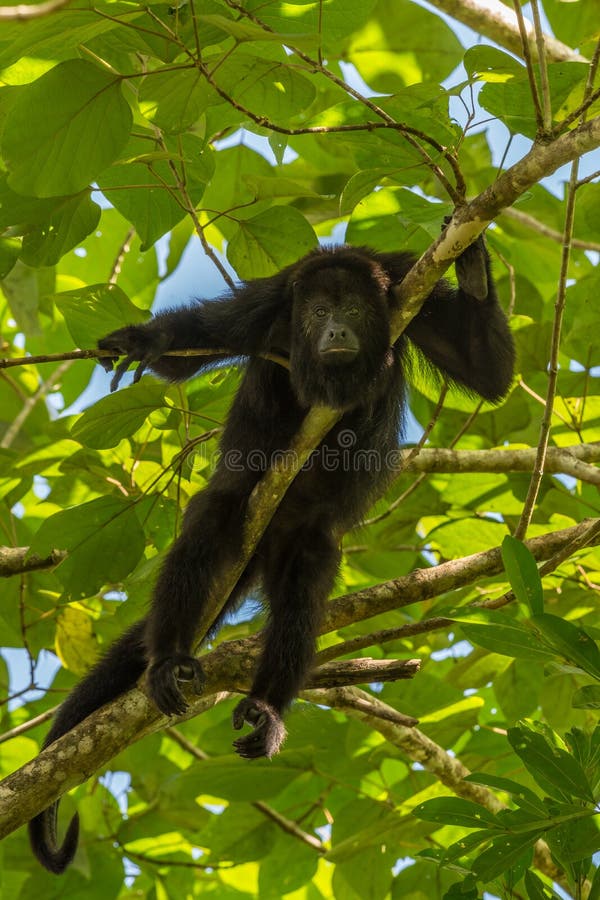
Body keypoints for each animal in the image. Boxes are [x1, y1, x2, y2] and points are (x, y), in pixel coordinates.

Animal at [28, 233, 515, 872]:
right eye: (317, 312)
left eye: (352, 309)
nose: (335, 331)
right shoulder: (267, 307)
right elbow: (191, 345)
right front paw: (141, 341)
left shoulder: (413, 289)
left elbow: (487, 374)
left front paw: (476, 271)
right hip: (240, 514)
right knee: (210, 524)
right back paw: (168, 659)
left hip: (302, 535)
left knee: (301, 593)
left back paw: (268, 708)